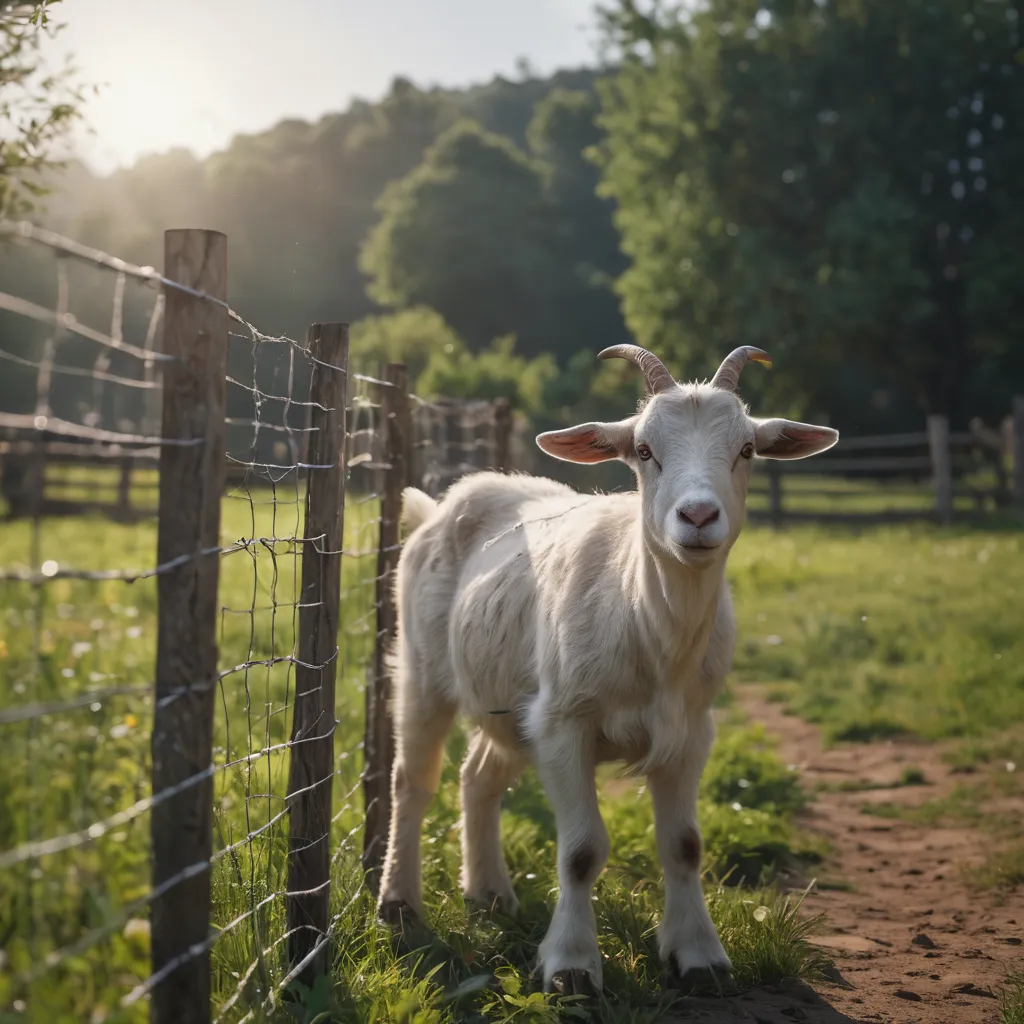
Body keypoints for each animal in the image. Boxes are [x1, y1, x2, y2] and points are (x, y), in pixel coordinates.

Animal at [376, 345, 838, 994]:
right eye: (643, 450)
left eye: (747, 449)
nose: (698, 516)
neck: (649, 629)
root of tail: (439, 505)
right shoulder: (564, 723)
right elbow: (581, 851)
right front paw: (571, 966)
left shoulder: (690, 730)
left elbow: (685, 845)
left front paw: (699, 955)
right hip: (422, 668)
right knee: (413, 779)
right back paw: (399, 903)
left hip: (512, 701)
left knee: (478, 776)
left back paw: (489, 894)